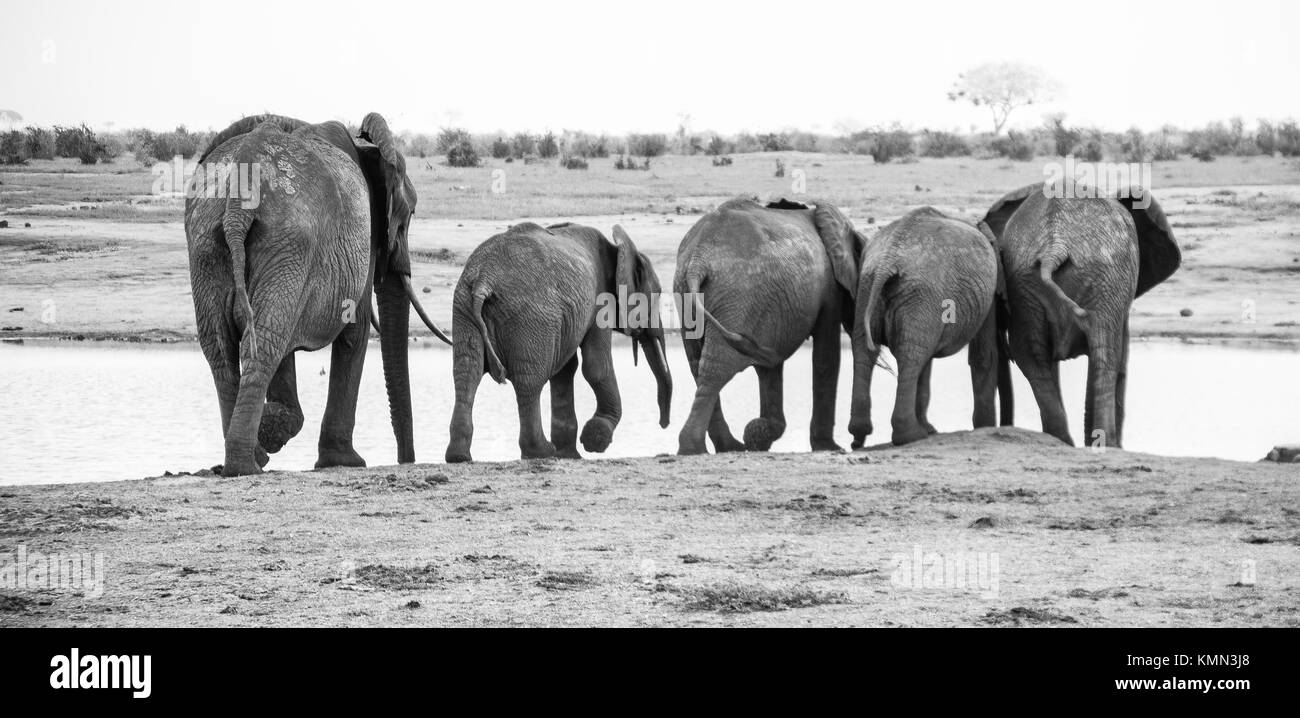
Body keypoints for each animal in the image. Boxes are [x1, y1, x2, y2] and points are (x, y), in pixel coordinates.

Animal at [185, 113, 449, 477]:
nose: (407, 461)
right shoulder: (363, 241)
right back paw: (248, 463)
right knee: (264, 341)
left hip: (210, 243)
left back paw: (249, 458)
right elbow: (356, 330)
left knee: (225, 345)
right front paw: (344, 461)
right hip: (287, 242)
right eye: (408, 215)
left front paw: (274, 425)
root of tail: (239, 202)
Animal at [444, 222, 672, 462]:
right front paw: (595, 440)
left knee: (467, 373)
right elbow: (595, 366)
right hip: (531, 318)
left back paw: (459, 456)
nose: (663, 424)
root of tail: (483, 279)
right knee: (529, 381)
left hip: (464, 310)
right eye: (658, 293)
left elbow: (566, 369)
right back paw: (541, 452)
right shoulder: (600, 301)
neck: (617, 249)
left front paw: (571, 454)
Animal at [674, 197, 862, 455]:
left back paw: (724, 446)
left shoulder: (773, 309)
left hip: (693, 297)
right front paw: (828, 446)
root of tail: (697, 259)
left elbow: (770, 369)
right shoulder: (829, 287)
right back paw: (705, 447)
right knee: (717, 367)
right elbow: (827, 357)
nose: (854, 443)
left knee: (699, 364)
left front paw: (759, 435)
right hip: (739, 296)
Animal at [847, 207, 1001, 447]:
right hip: (921, 293)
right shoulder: (990, 291)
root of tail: (887, 262)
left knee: (868, 349)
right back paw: (911, 436)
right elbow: (984, 354)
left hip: (870, 286)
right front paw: (986, 427)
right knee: (912, 354)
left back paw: (859, 437)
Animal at [981, 181, 1180, 449]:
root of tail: (1055, 245)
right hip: (1105, 276)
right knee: (1105, 352)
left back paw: (1062, 441)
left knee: (1032, 356)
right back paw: (1107, 444)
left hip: (1025, 280)